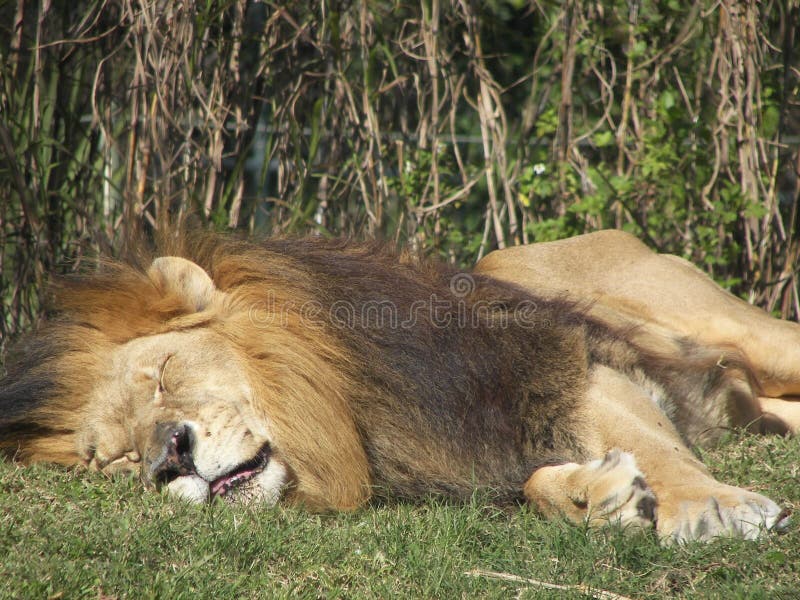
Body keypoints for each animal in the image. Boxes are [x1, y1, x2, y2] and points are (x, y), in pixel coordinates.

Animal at [0, 230, 796, 544]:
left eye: (164, 374)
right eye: (116, 461)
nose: (168, 457)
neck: (347, 411)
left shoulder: (577, 368)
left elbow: (658, 449)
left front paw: (707, 510)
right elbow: (536, 483)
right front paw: (597, 497)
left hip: (753, 337)